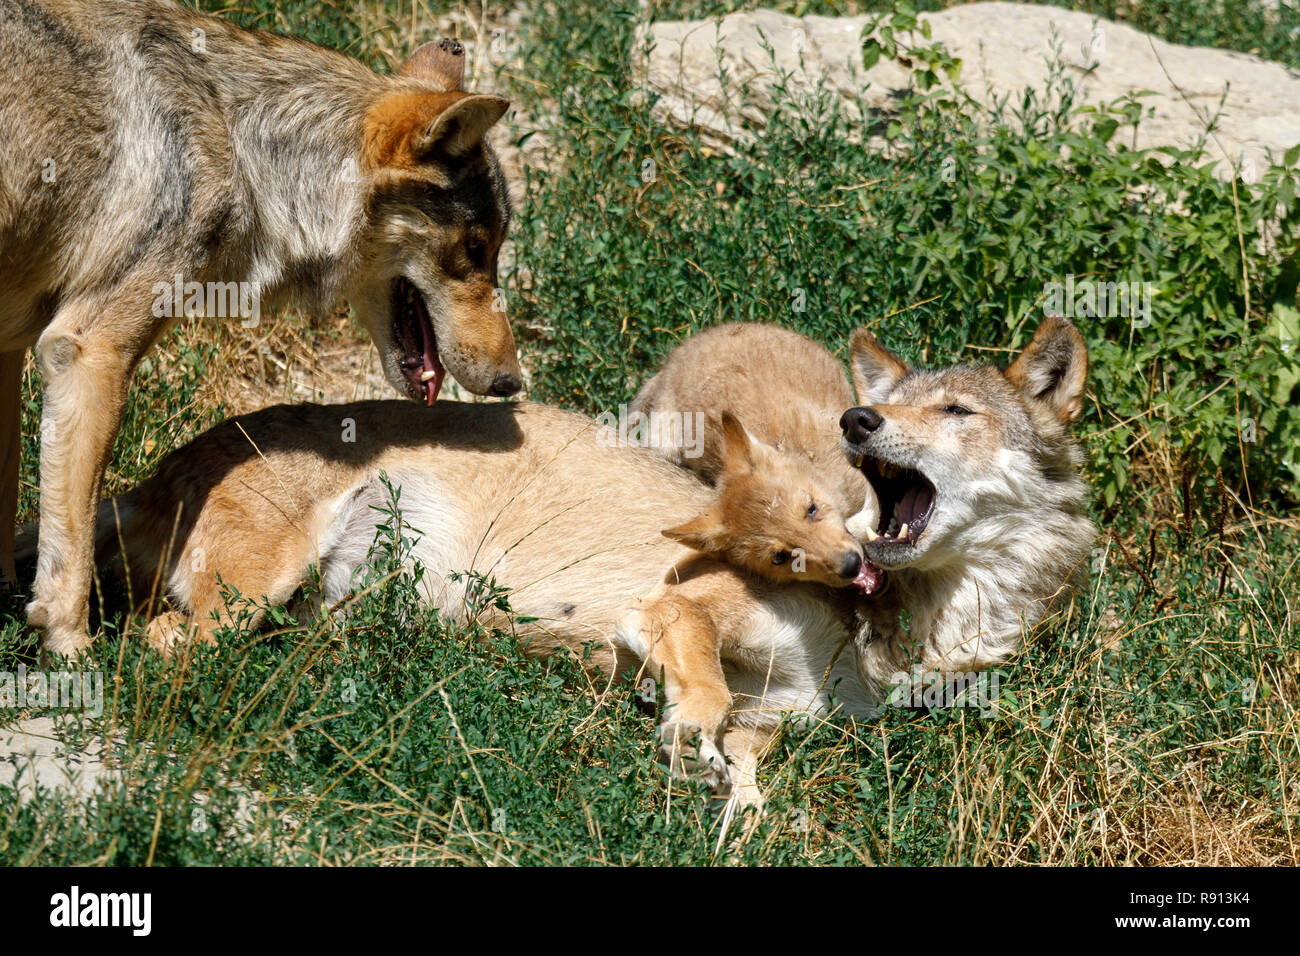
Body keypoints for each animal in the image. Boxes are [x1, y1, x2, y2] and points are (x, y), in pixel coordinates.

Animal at [0, 0, 523, 654]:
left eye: (495, 248)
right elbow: (67, 560)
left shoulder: (12, 347)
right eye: (475, 249)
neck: (243, 143)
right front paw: (72, 653)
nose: (513, 383)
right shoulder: (88, 350)